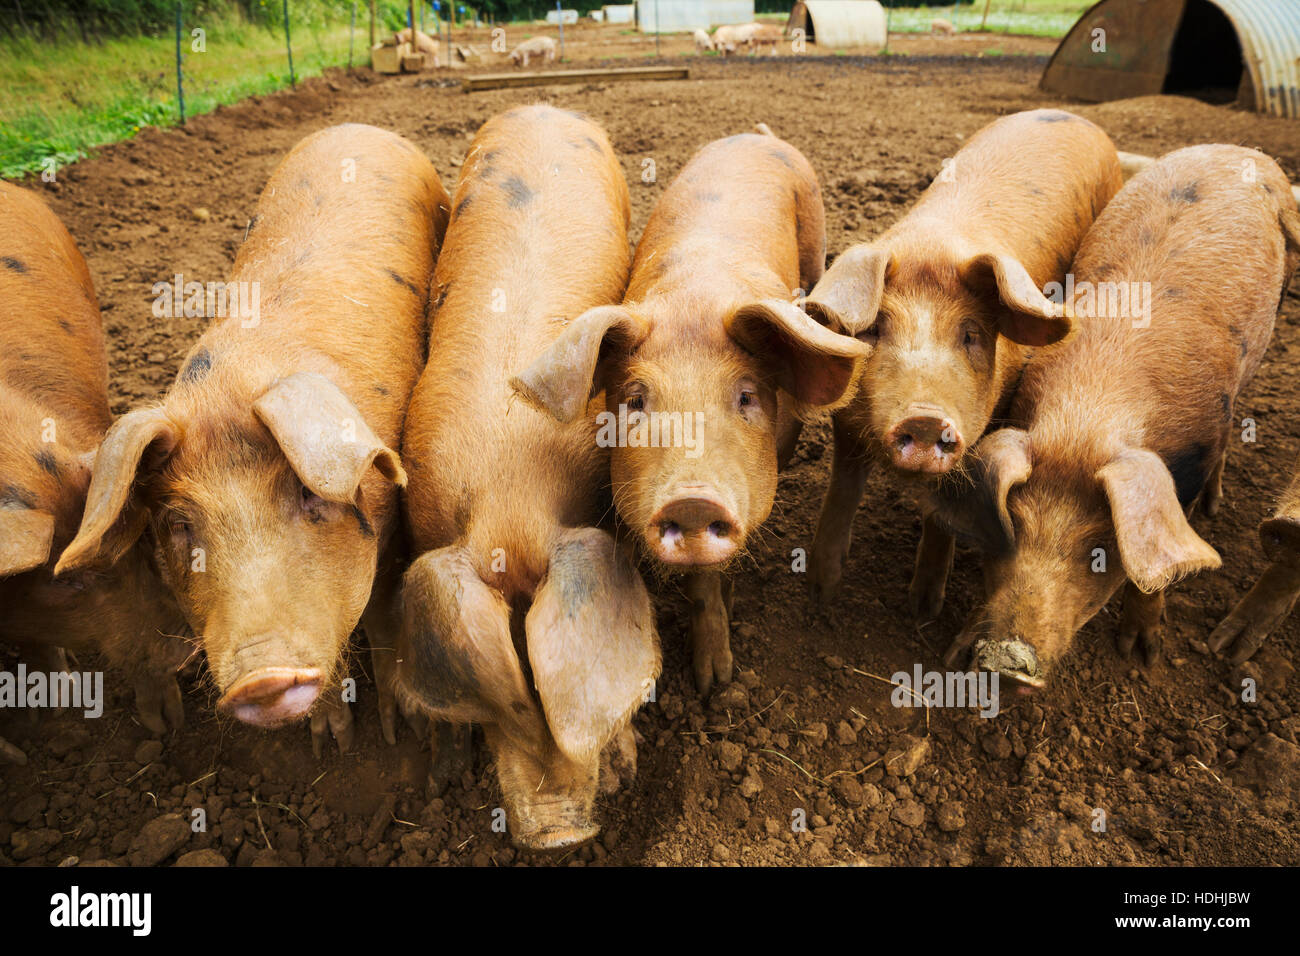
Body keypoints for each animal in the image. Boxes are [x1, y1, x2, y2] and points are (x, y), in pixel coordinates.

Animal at [55, 125, 451, 755]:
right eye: (178, 524)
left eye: (310, 496)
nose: (261, 680)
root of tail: (357, 126)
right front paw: (328, 743)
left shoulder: (393, 528)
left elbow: (384, 618)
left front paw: (397, 734)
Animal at [511, 127, 868, 694]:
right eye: (636, 400)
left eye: (746, 397)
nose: (693, 499)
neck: (693, 300)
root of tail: (757, 135)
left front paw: (718, 681)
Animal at [803, 109, 1123, 619]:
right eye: (875, 329)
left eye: (971, 334)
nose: (926, 418)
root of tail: (1077, 118)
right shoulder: (846, 423)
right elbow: (842, 492)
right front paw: (820, 594)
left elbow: (945, 511)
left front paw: (923, 609)